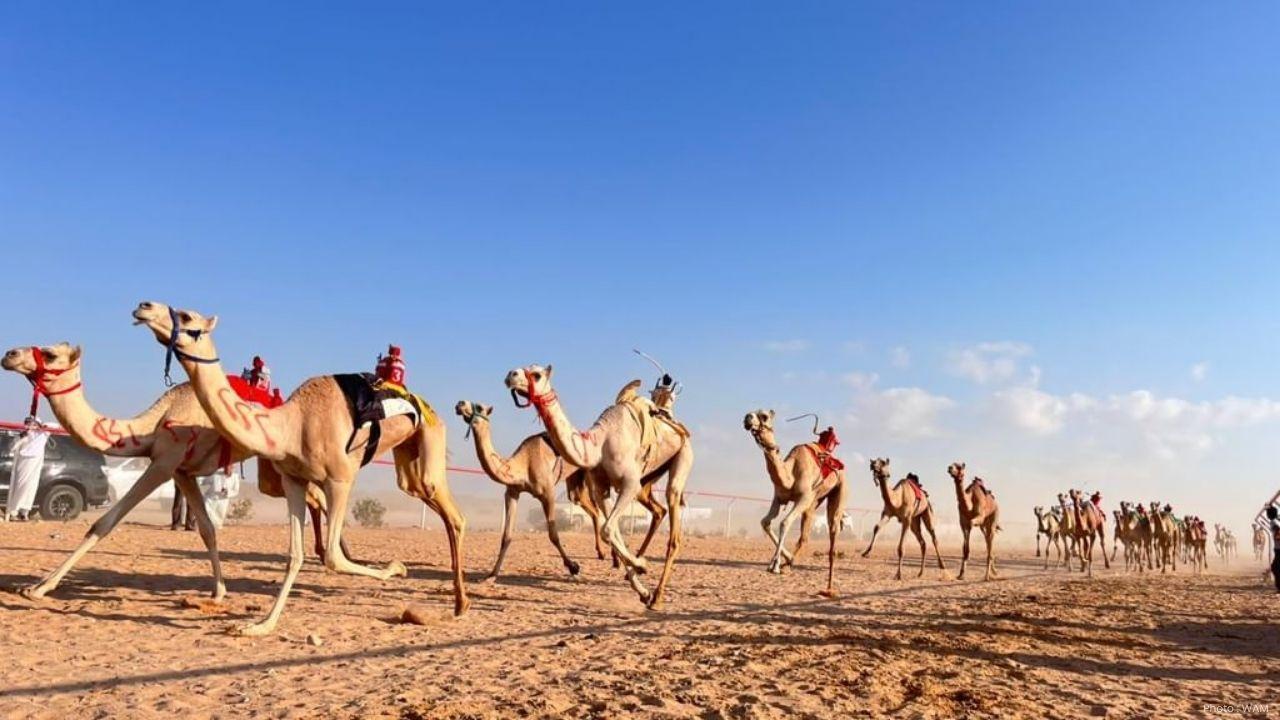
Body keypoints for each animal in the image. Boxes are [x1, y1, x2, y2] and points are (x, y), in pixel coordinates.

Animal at [1, 344, 344, 600]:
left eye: (49, 354)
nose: (10, 354)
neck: (153, 424)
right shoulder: (183, 472)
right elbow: (207, 530)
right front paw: (219, 592)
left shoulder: (164, 462)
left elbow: (104, 523)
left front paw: (39, 587)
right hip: (273, 470)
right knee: (315, 499)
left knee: (319, 497)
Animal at [134, 302, 466, 636]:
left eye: (187, 316)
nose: (143, 307)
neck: (292, 427)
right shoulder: (294, 479)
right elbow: (295, 554)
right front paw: (260, 625)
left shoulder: (340, 479)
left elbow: (333, 556)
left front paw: (396, 567)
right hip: (408, 464)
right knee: (430, 499)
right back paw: (459, 603)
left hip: (430, 438)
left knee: (452, 512)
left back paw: (461, 602)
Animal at [454, 400, 611, 580]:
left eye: (479, 407)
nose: (460, 404)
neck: (523, 464)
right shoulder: (512, 493)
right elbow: (506, 535)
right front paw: (492, 574)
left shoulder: (548, 493)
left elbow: (553, 534)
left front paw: (573, 567)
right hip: (575, 480)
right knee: (589, 507)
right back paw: (601, 552)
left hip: (592, 471)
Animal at [504, 364, 694, 608]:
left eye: (536, 374)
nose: (511, 375)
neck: (598, 445)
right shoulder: (601, 488)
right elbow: (612, 531)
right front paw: (641, 587)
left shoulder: (629, 483)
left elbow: (607, 529)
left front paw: (642, 568)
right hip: (648, 480)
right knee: (658, 510)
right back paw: (640, 574)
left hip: (682, 457)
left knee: (673, 524)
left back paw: (658, 596)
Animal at [741, 410, 847, 597]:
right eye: (751, 413)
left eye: (764, 416)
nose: (748, 418)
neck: (790, 474)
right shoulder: (779, 498)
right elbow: (765, 521)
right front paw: (786, 559)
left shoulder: (803, 497)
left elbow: (785, 522)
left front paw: (775, 565)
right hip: (814, 501)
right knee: (805, 535)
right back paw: (789, 564)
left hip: (838, 489)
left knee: (833, 529)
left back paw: (829, 588)